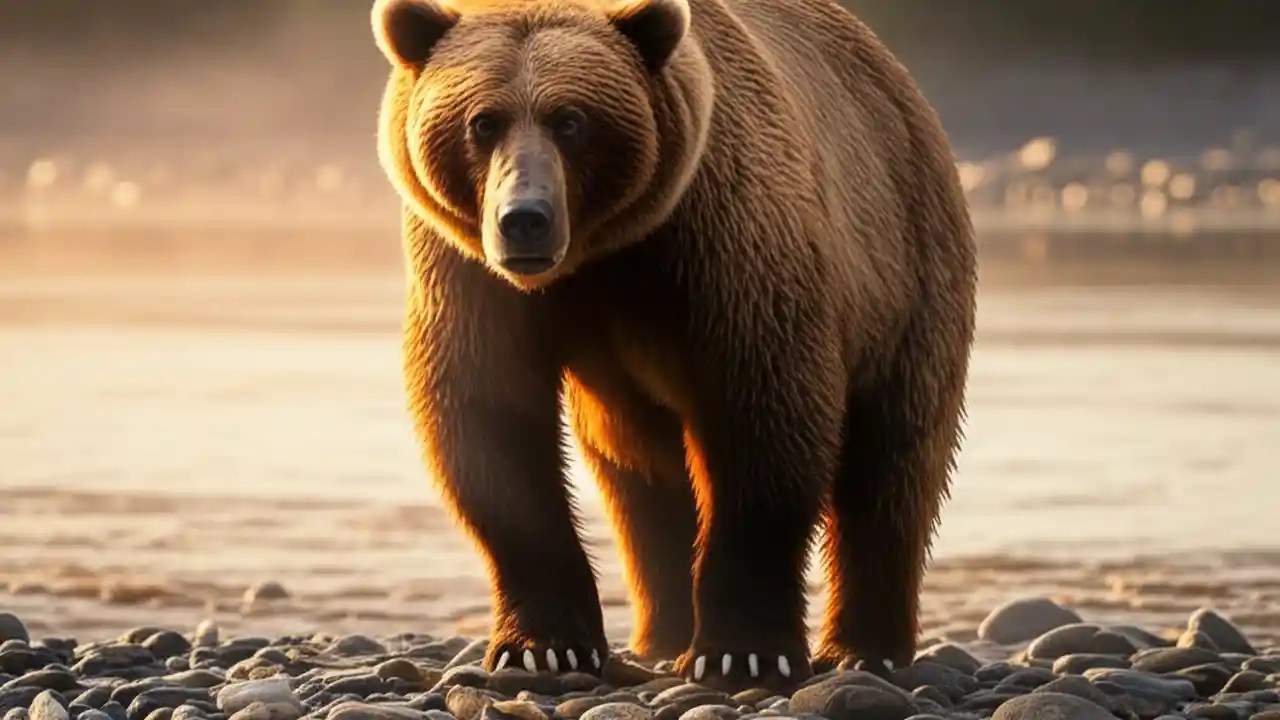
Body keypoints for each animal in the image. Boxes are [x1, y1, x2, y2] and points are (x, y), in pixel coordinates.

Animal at [371, 0, 976, 692]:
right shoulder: (472, 275)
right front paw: (541, 647)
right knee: (641, 477)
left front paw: (743, 652)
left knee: (893, 464)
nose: (524, 219)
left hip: (908, 270)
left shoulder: (722, 244)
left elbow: (765, 420)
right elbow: (489, 428)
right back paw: (663, 632)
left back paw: (862, 647)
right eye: (483, 121)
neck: (600, 255)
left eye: (572, 120)